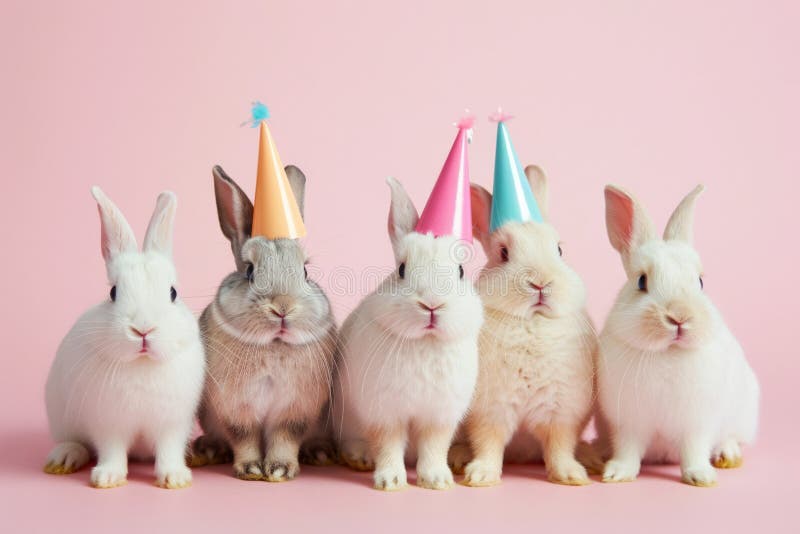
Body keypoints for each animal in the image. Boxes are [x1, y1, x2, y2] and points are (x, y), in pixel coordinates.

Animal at [44, 187, 205, 489]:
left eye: (173, 293)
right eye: (113, 292)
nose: (143, 329)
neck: (142, 364)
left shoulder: (172, 425)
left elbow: (169, 451)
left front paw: (175, 478)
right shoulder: (108, 423)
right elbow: (112, 450)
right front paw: (107, 477)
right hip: (62, 420)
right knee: (75, 442)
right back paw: (64, 457)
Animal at [190, 165, 338, 482]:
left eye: (305, 271)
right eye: (249, 271)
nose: (282, 307)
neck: (273, 345)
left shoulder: (297, 409)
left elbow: (285, 437)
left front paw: (280, 469)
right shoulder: (235, 408)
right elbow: (244, 437)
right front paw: (251, 469)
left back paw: (320, 453)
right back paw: (210, 448)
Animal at [333, 177, 484, 491]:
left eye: (461, 271)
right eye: (401, 269)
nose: (432, 304)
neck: (425, 342)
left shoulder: (440, 416)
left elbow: (434, 447)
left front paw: (437, 480)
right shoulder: (384, 412)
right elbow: (387, 445)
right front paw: (390, 481)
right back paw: (359, 457)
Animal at [451, 165, 599, 487]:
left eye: (559, 250)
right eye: (503, 253)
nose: (541, 282)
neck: (532, 322)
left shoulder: (562, 411)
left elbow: (559, 446)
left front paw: (571, 475)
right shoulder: (490, 411)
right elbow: (488, 443)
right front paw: (481, 476)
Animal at [597, 184, 759, 487]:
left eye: (701, 282)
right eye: (641, 281)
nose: (680, 317)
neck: (666, 353)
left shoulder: (697, 422)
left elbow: (694, 449)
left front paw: (701, 477)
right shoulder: (627, 423)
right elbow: (627, 450)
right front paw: (616, 473)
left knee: (732, 437)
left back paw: (727, 455)